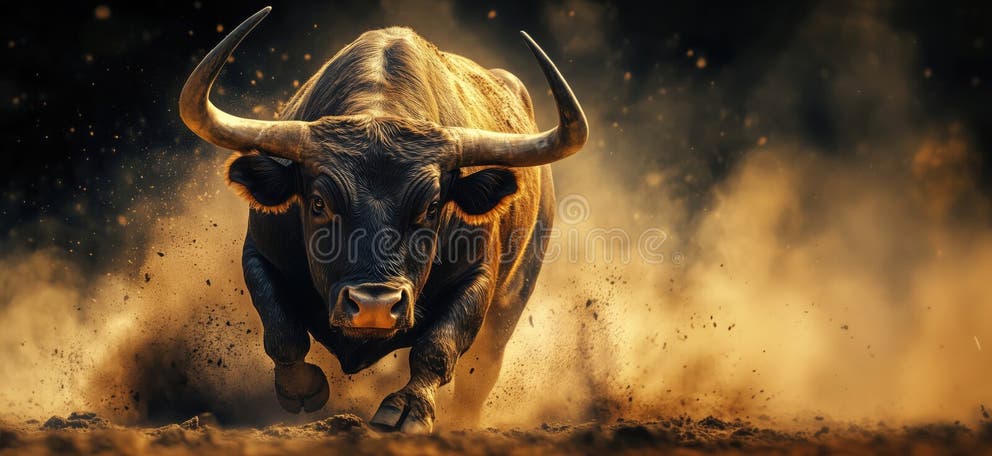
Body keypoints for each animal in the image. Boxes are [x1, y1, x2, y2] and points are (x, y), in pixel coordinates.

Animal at [178, 7, 586, 433]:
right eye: (319, 203)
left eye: (431, 207)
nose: (374, 305)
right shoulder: (259, 254)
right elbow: (282, 331)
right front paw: (303, 389)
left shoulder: (479, 278)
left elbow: (438, 347)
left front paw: (409, 408)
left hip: (514, 296)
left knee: (482, 371)